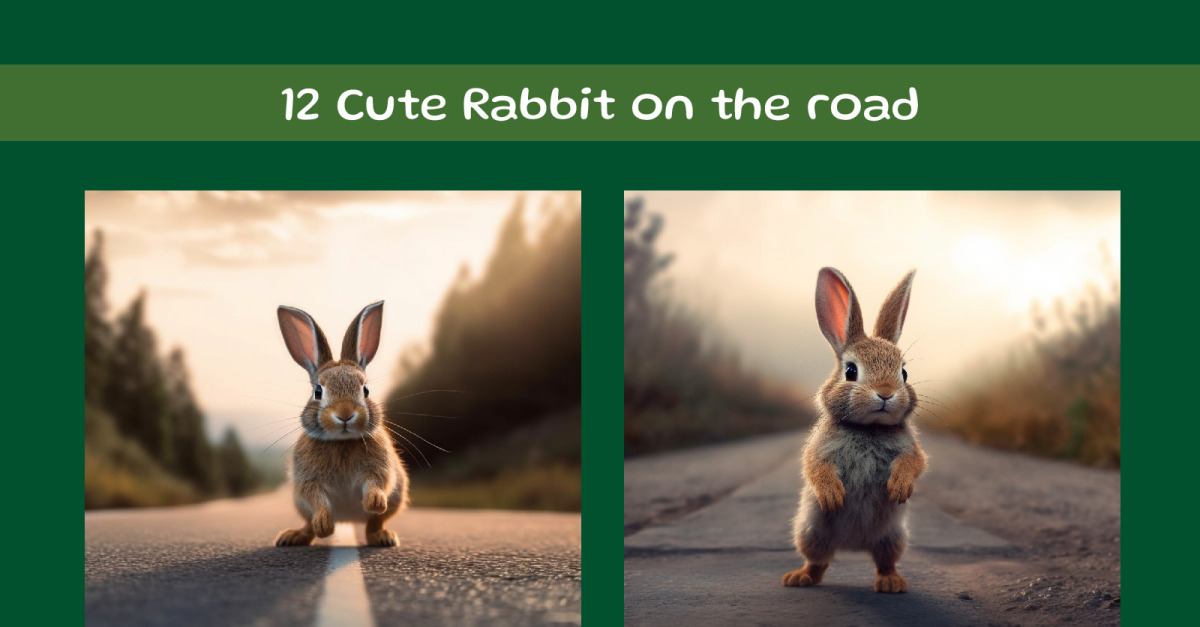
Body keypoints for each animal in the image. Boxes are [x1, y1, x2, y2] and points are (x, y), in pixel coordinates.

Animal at [273, 301, 410, 548]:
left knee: (374, 524)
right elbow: (316, 497)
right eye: (318, 392)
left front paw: (374, 502)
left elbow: (378, 481)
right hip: (299, 504)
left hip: (397, 497)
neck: (341, 442)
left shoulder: (379, 467)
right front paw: (325, 526)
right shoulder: (308, 480)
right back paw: (293, 537)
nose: (345, 414)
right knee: (308, 524)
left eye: (365, 390)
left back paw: (383, 537)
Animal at [781, 268, 927, 593]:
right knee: (818, 561)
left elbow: (914, 463)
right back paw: (799, 578)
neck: (868, 428)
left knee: (884, 561)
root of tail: (852, 546)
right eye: (850, 371)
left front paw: (900, 487)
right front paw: (833, 495)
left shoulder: (910, 449)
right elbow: (815, 466)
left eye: (904, 372)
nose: (885, 393)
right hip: (811, 533)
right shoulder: (820, 449)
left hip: (892, 537)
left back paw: (891, 583)